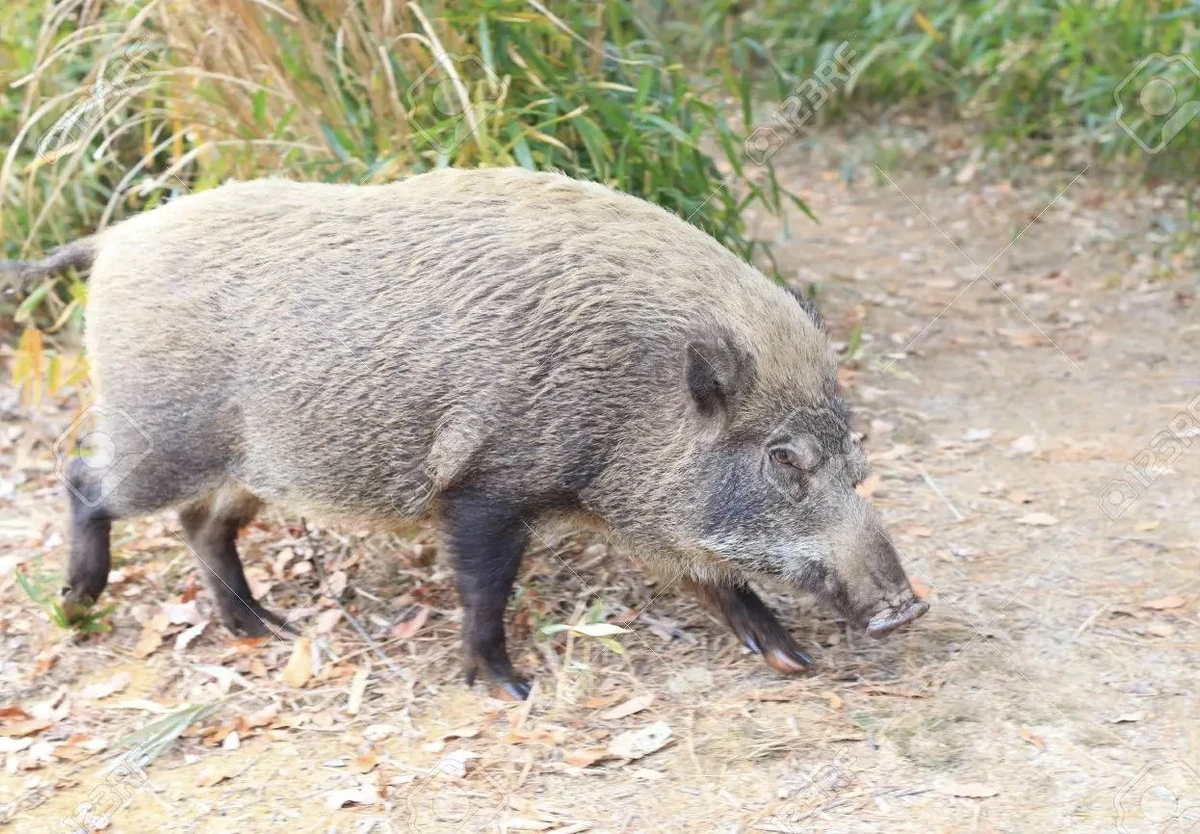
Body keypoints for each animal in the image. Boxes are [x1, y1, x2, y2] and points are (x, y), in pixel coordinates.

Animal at [3, 167, 927, 699]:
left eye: (855, 456)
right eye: (782, 458)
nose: (907, 608)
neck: (635, 398)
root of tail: (115, 237)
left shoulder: (644, 511)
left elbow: (718, 581)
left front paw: (793, 661)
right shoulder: (487, 483)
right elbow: (487, 589)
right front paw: (509, 690)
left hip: (249, 466)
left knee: (203, 526)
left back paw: (267, 631)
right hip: (160, 436)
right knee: (87, 482)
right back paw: (76, 606)